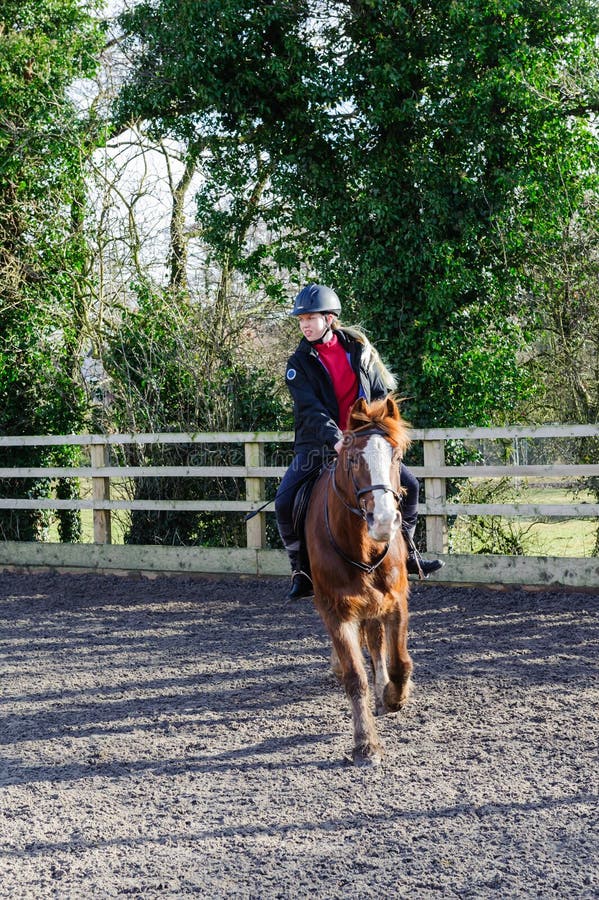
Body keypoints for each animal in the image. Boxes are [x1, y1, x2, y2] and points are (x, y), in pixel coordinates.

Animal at [305, 395, 413, 767]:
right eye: (352, 459)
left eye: (396, 457)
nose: (383, 521)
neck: (364, 547)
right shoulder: (335, 610)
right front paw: (366, 744)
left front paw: (393, 697)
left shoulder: (395, 601)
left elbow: (398, 662)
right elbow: (355, 677)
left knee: (378, 646)